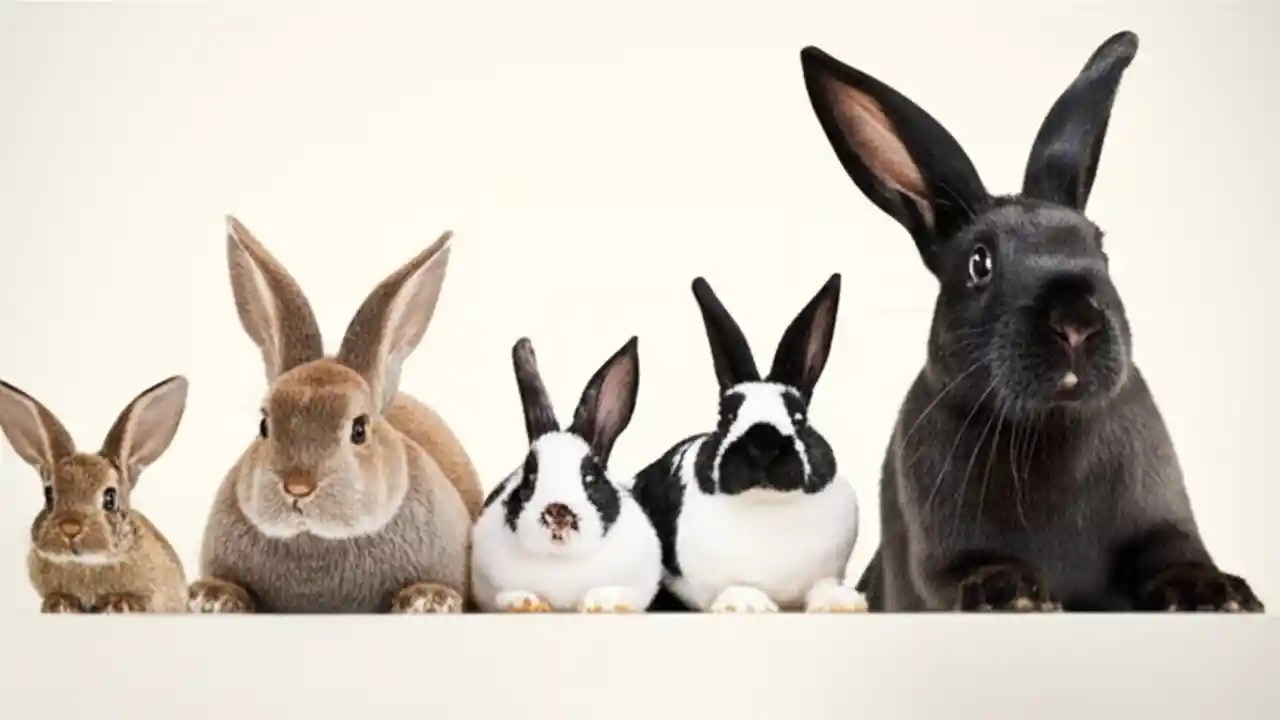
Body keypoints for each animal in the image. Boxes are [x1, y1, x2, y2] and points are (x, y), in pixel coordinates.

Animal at [0, 376, 190, 613]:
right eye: (48, 494)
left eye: (110, 497)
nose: (70, 527)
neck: (87, 563)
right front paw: (59, 604)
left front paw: (118, 603)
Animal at [187, 216, 483, 614]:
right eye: (264, 424)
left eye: (359, 429)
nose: (298, 486)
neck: (319, 542)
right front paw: (211, 597)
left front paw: (428, 600)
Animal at [471, 336, 662, 613]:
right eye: (529, 477)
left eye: (590, 478)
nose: (558, 510)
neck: (560, 559)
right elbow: (503, 597)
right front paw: (525, 602)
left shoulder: (639, 585)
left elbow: (622, 593)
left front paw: (598, 602)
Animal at [631, 274, 864, 613]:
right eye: (726, 416)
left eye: (799, 417)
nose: (762, 443)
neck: (765, 503)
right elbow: (733, 587)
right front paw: (745, 603)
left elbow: (824, 585)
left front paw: (841, 602)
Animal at [800, 31, 1263, 612]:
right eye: (980, 263)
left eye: (1099, 247)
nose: (1076, 322)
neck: (1048, 425)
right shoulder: (941, 550)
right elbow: (968, 568)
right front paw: (1009, 592)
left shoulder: (1162, 522)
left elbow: (1174, 556)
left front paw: (1218, 592)